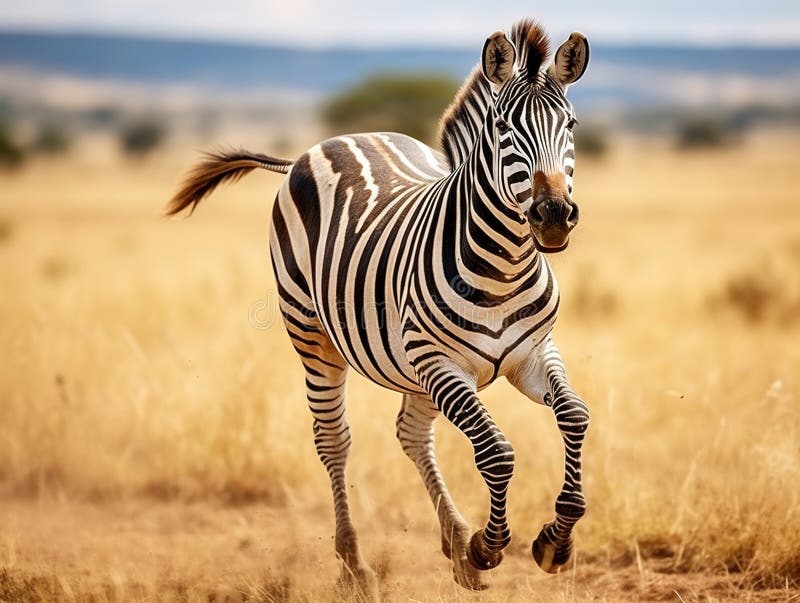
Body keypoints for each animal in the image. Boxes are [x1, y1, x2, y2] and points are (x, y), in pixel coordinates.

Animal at [167, 19, 590, 597]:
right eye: (503, 127)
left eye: (570, 124)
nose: (553, 216)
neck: (502, 267)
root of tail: (333, 140)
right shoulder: (439, 360)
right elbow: (497, 452)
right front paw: (489, 545)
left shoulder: (532, 353)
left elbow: (574, 416)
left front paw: (554, 540)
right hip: (315, 338)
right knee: (333, 441)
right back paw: (356, 566)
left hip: (412, 370)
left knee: (411, 435)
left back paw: (454, 544)